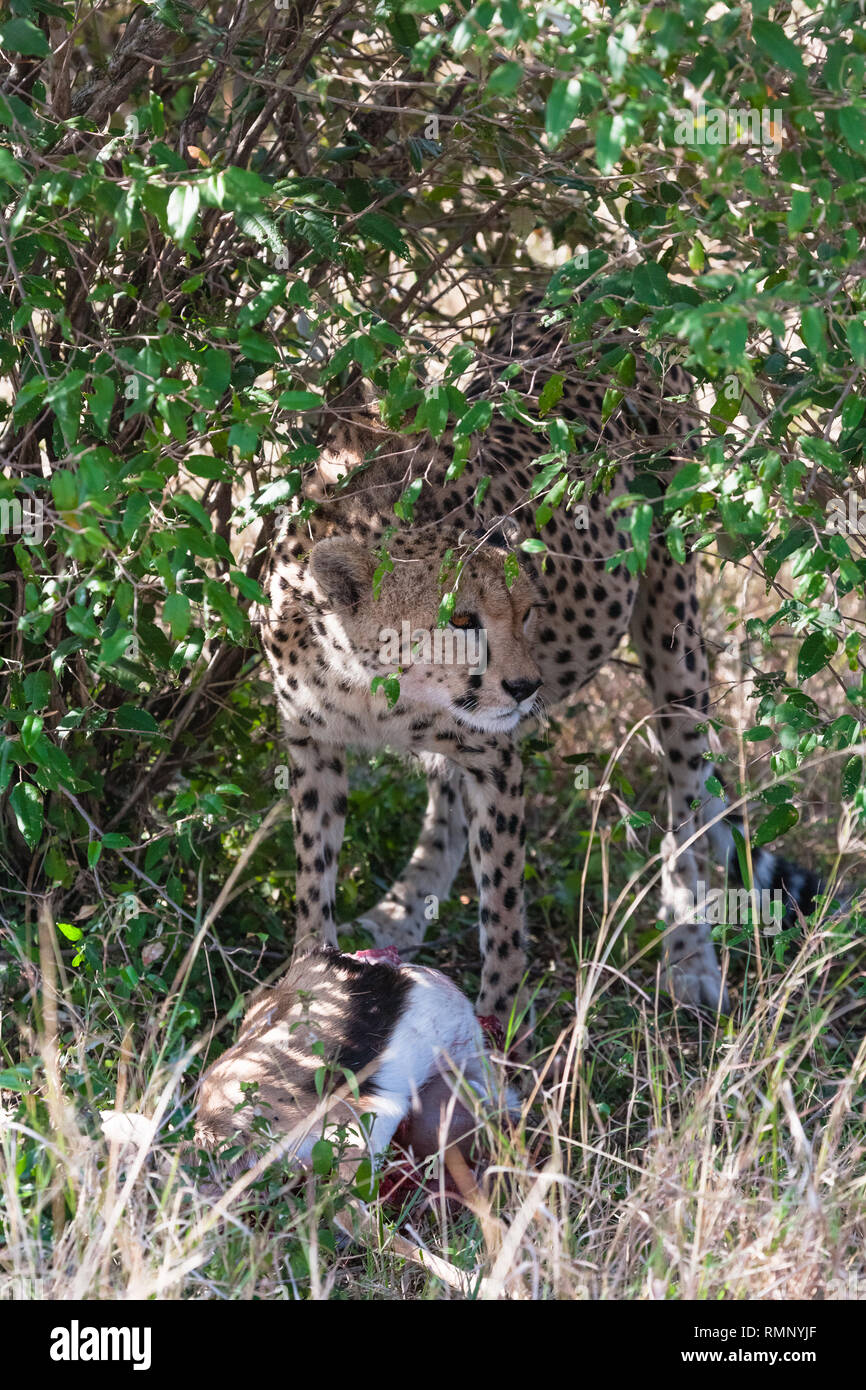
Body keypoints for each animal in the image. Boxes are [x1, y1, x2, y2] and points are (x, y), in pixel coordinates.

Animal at [259, 290, 819, 1043]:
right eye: (462, 621)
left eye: (529, 610)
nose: (526, 687)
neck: (369, 683)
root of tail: (611, 288)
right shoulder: (313, 744)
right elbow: (312, 875)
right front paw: (308, 978)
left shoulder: (497, 757)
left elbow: (503, 914)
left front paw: (501, 1034)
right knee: (446, 801)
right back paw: (401, 912)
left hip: (673, 622)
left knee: (687, 804)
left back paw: (691, 958)